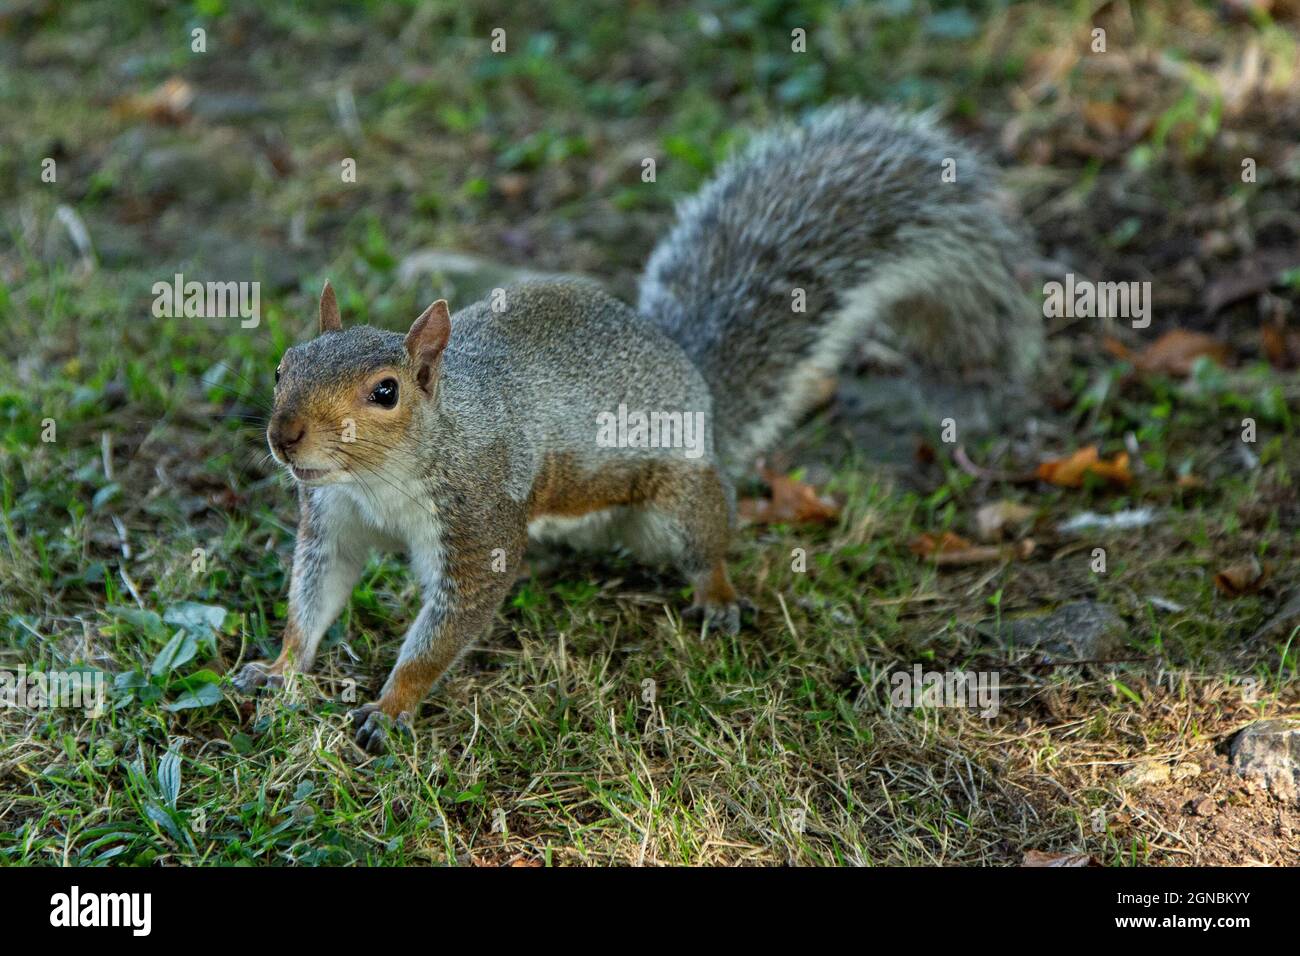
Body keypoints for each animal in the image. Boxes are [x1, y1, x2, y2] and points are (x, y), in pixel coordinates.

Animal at [232, 103, 1041, 752]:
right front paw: (281, 668)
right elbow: (315, 593)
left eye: (386, 391)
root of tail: (698, 385)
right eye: (281, 366)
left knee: (709, 540)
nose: (284, 436)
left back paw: (718, 598)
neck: (383, 477)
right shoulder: (333, 517)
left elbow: (448, 627)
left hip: (677, 499)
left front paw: (391, 707)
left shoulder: (479, 519)